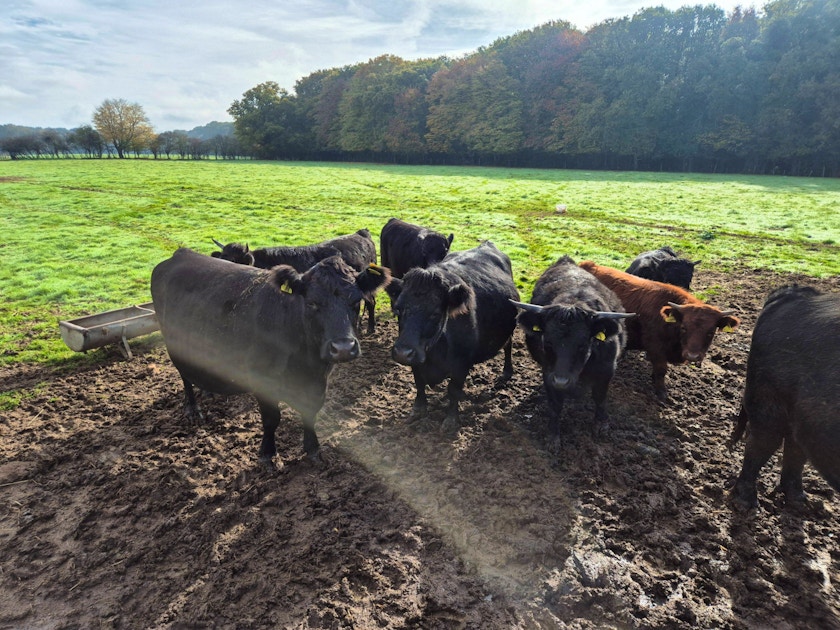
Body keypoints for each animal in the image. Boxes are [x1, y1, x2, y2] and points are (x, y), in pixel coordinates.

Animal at [150, 247, 390, 466]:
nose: (343, 348)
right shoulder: (261, 380)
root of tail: (182, 253)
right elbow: (271, 419)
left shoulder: (318, 380)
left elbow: (310, 412)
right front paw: (267, 454)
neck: (305, 360)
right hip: (174, 344)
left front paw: (313, 448)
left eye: (356, 301)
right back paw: (192, 408)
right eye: (311, 302)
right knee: (184, 376)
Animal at [386, 241, 519, 433]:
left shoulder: (461, 364)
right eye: (398, 309)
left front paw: (451, 419)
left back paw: (507, 371)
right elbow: (419, 383)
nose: (403, 353)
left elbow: (453, 390)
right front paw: (418, 410)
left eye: (435, 313)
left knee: (508, 344)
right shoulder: (416, 359)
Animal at [512, 256, 634, 437]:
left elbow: (600, 397)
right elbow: (555, 405)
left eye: (582, 344)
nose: (561, 381)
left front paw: (601, 423)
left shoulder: (606, 370)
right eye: (547, 342)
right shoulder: (548, 373)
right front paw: (553, 434)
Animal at [579, 261, 739, 403]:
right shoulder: (656, 347)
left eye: (710, 331)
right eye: (684, 327)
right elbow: (661, 370)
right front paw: (661, 391)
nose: (692, 356)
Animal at [729, 285, 840, 509]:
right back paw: (746, 503)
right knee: (763, 443)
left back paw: (801, 502)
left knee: (795, 448)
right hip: (768, 396)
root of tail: (796, 293)